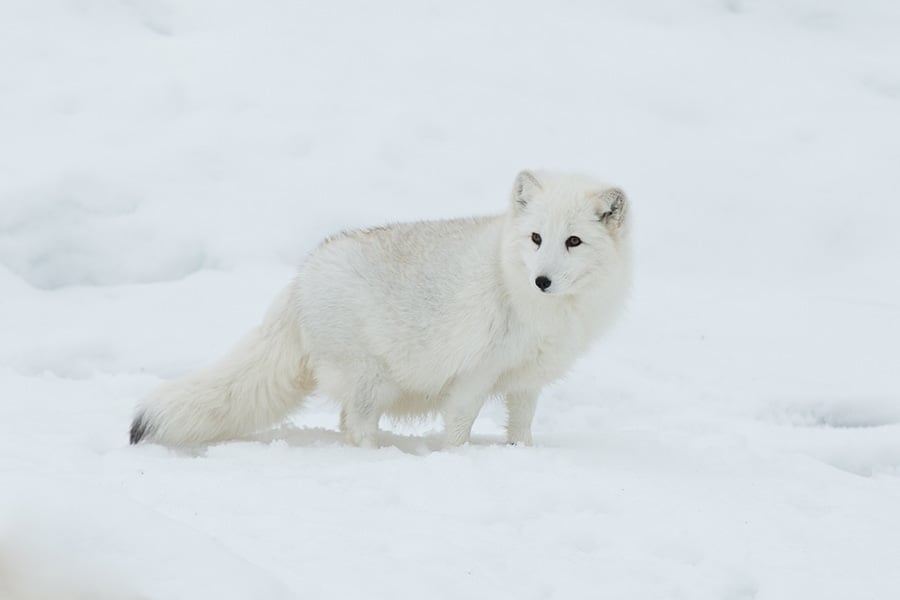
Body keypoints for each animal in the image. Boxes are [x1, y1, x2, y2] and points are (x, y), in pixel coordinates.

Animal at [129, 170, 631, 448]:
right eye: (535, 238)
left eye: (573, 241)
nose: (541, 281)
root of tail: (300, 280)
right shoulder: (474, 376)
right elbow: (458, 429)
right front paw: (457, 460)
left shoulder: (526, 381)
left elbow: (521, 428)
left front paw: (520, 456)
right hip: (371, 380)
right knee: (355, 428)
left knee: (343, 423)